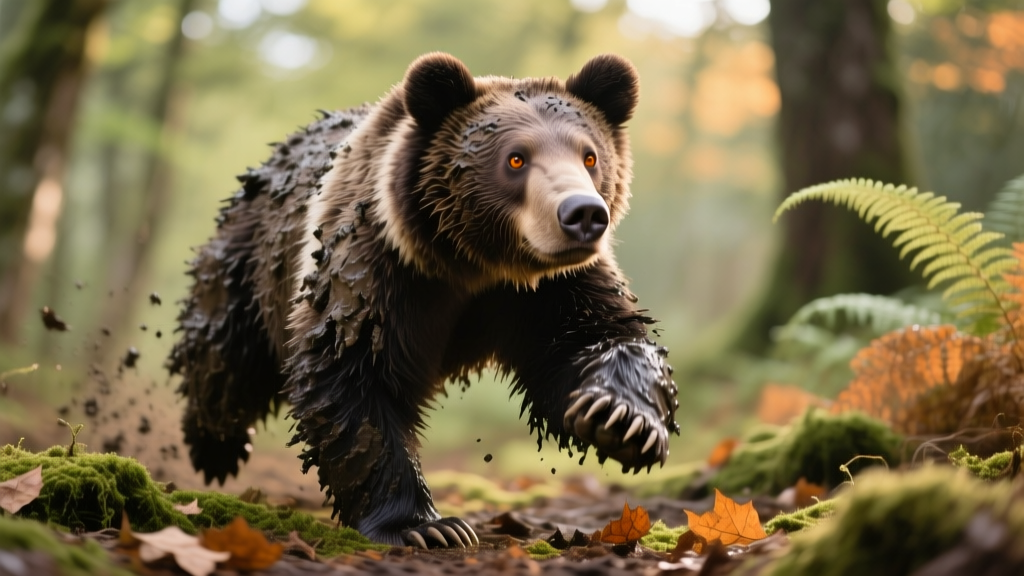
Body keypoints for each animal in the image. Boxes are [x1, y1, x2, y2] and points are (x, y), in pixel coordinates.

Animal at [167, 52, 679, 548]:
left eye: (590, 156)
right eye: (516, 159)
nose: (584, 213)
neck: (477, 263)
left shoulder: (552, 290)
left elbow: (599, 339)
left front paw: (621, 420)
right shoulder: (378, 273)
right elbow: (352, 375)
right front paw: (427, 526)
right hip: (252, 262)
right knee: (223, 360)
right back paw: (216, 446)